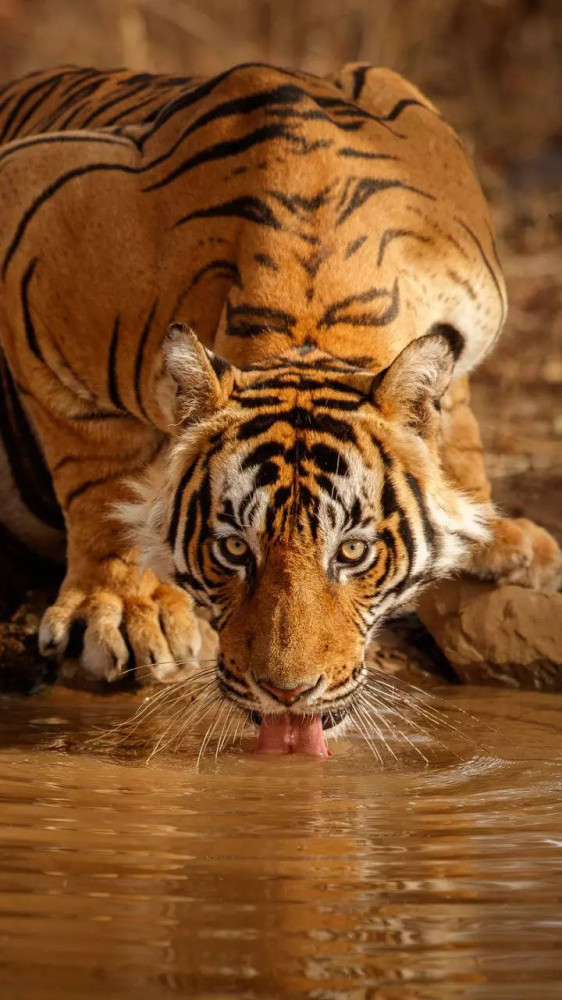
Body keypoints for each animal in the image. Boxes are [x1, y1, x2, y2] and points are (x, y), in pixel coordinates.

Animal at [0, 62, 560, 753]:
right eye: (234, 549)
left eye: (352, 552)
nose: (288, 695)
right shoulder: (35, 228)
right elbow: (99, 467)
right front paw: (123, 609)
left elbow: (453, 414)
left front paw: (488, 531)